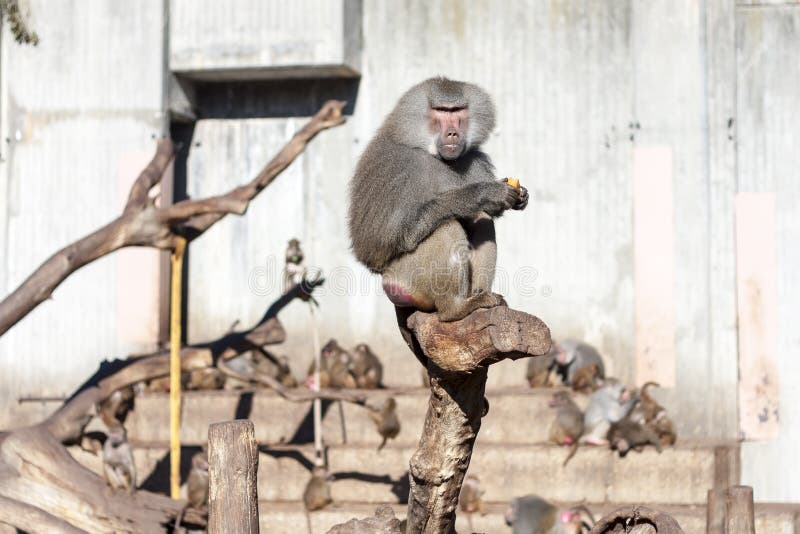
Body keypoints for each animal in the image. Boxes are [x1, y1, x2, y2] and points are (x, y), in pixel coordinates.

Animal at [348, 77, 528, 323]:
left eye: (457, 111)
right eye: (441, 111)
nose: (452, 134)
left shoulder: (472, 159)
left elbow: (489, 212)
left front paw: (520, 197)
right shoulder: (396, 167)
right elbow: (385, 238)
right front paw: (483, 193)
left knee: (481, 219)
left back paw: (480, 297)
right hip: (407, 275)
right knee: (446, 226)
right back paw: (456, 309)